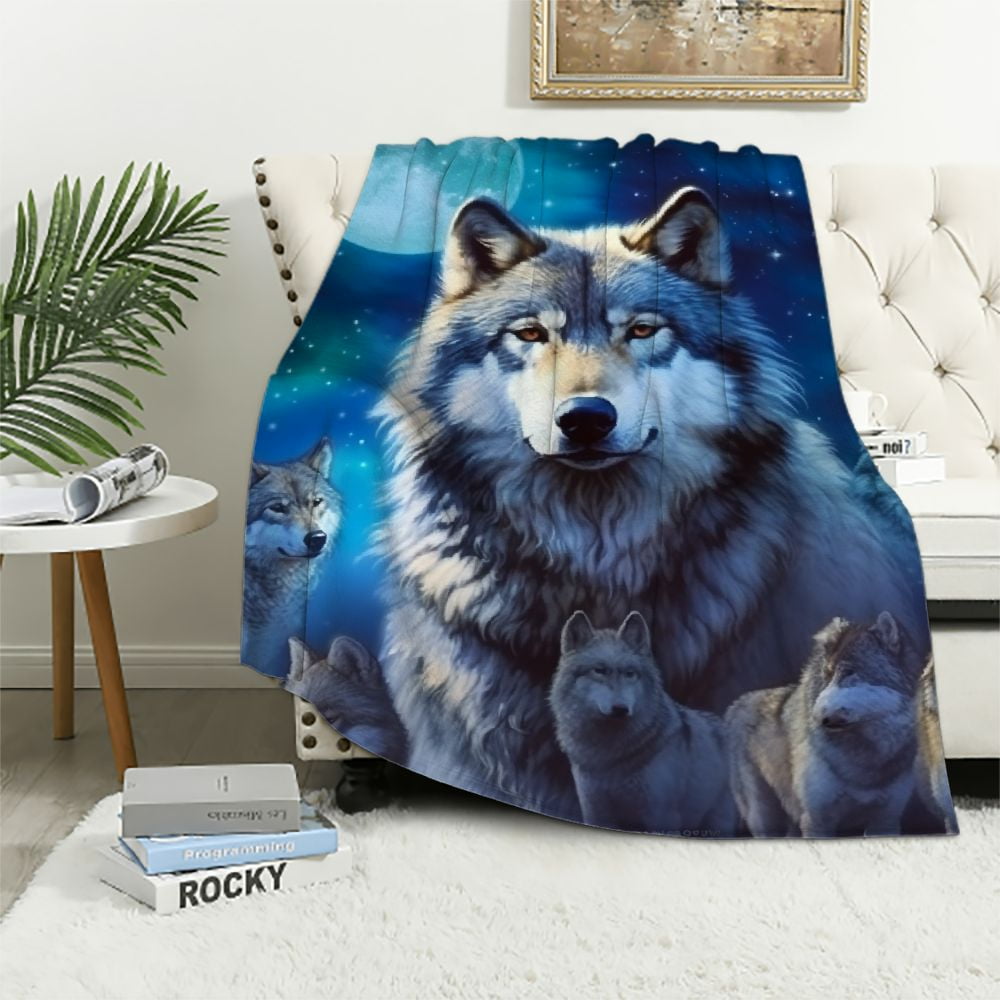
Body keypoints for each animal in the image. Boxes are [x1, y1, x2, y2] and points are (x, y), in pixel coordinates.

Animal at [550, 610, 737, 835]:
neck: (611, 754)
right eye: (599, 671)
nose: (620, 709)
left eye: (630, 673)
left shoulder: (661, 816)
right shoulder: (596, 813)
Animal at [725, 612, 934, 837]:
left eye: (850, 672)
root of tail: (737, 703)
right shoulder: (817, 820)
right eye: (827, 676)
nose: (815, 716)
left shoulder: (886, 819)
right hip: (765, 817)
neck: (865, 760)